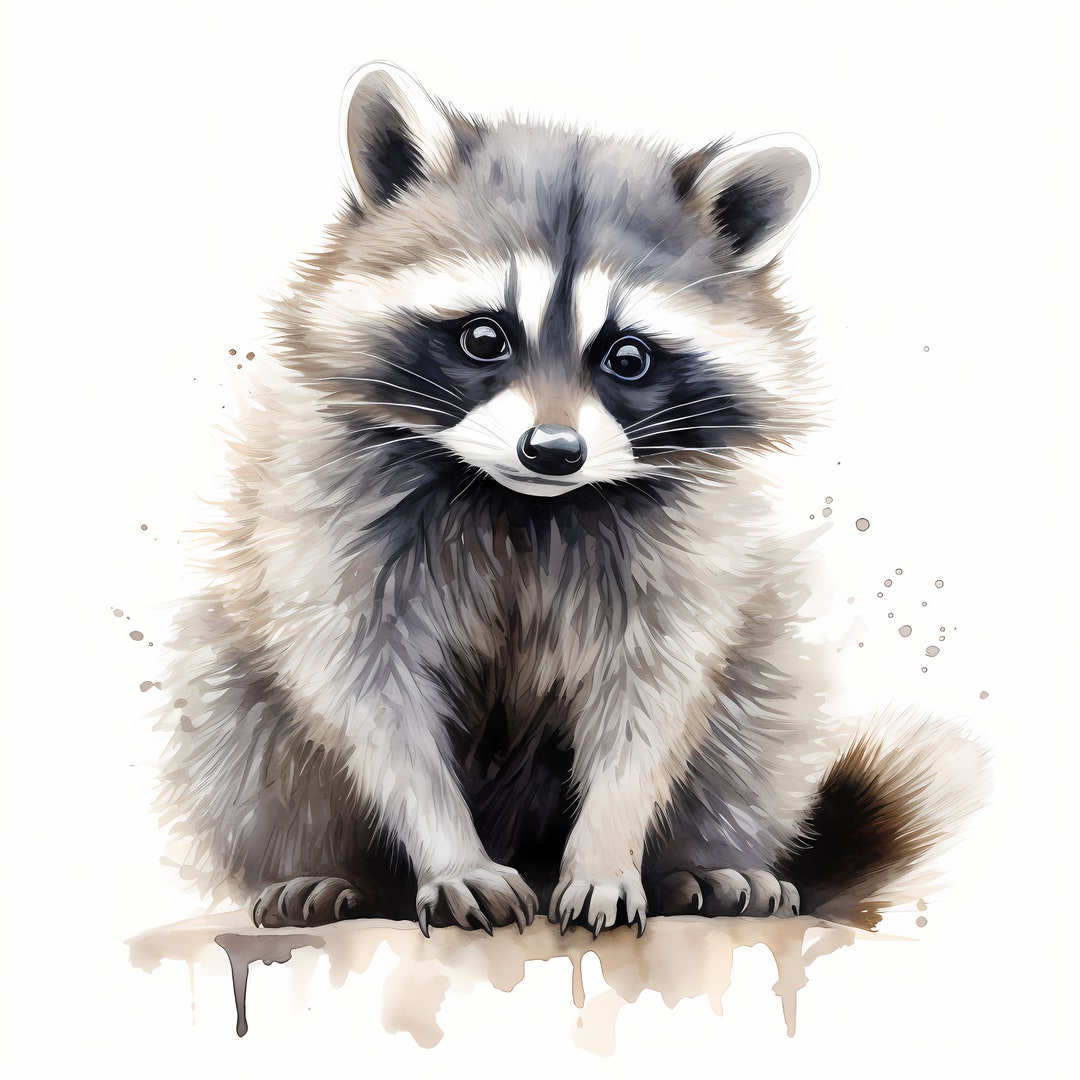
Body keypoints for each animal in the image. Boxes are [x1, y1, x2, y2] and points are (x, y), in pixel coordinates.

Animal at [157, 63, 984, 936]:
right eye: (484, 338)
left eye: (628, 357)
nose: (552, 451)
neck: (522, 502)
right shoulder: (333, 518)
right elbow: (370, 697)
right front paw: (450, 851)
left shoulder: (679, 554)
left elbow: (651, 706)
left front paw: (608, 854)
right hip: (234, 689)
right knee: (240, 726)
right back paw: (324, 870)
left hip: (761, 668)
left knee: (756, 713)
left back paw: (703, 861)